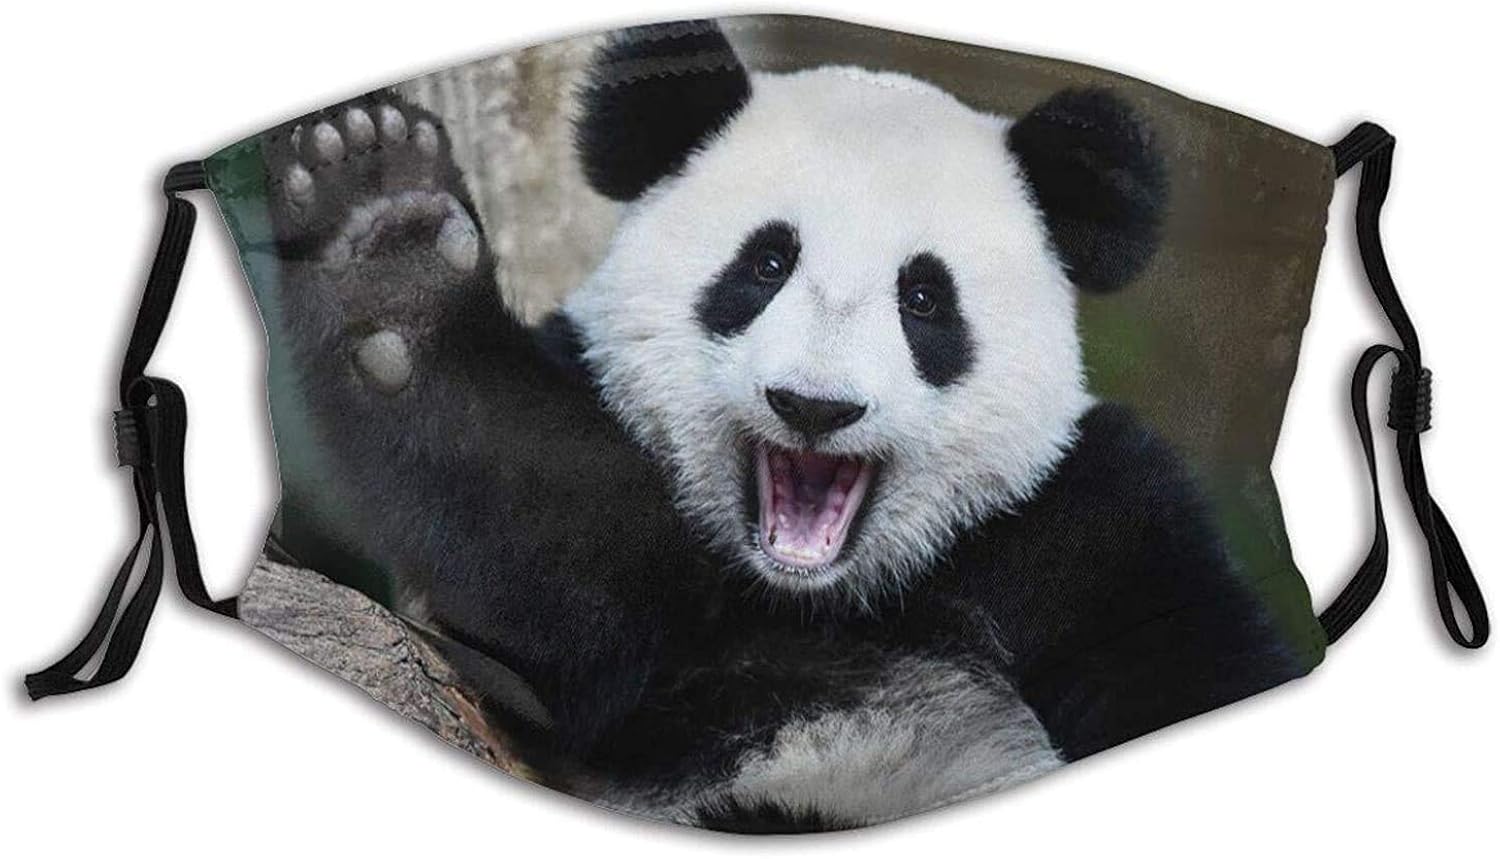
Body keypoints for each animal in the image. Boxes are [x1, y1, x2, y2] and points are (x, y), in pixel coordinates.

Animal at [264, 21, 1299, 831]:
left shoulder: (1091, 523)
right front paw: (390, 252)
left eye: (924, 298)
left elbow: (1189, 658)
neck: (825, 596)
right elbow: (548, 549)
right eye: (764, 265)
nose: (815, 406)